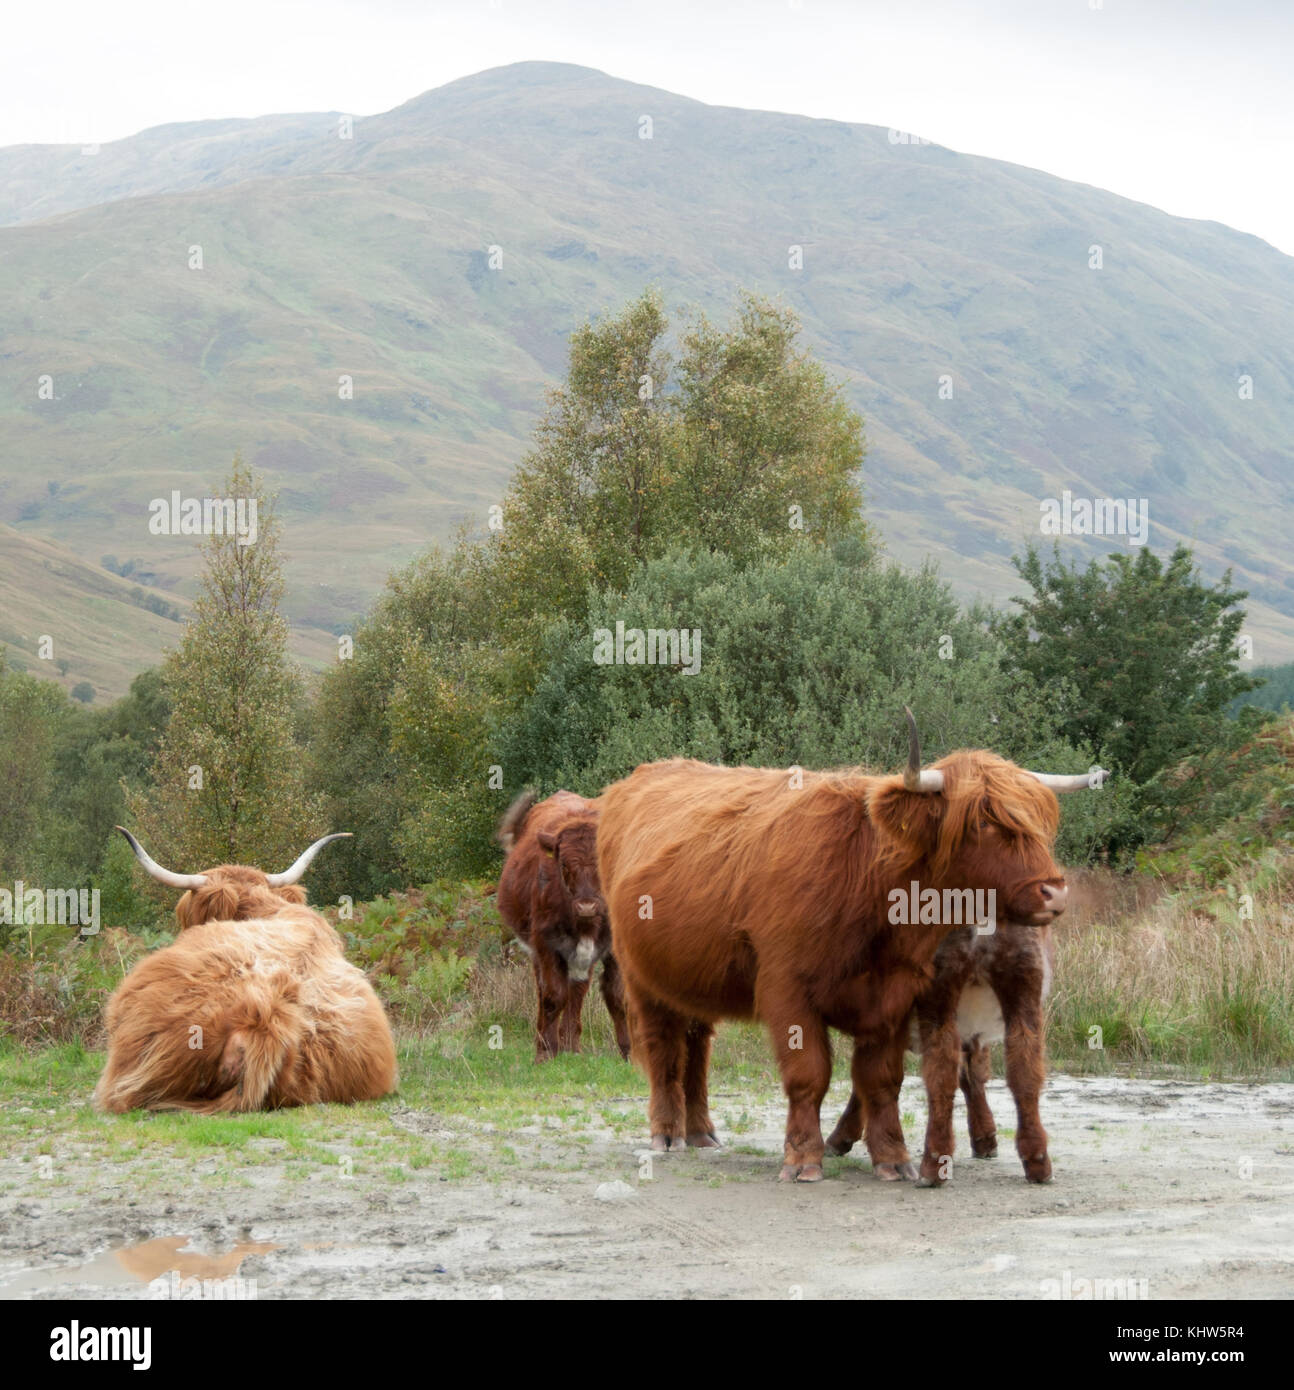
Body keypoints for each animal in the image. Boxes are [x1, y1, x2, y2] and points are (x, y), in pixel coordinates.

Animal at [496, 790, 631, 1062]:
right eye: (564, 865)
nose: (587, 906)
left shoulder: (612, 948)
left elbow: (617, 997)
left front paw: (628, 1053)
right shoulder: (547, 944)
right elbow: (552, 996)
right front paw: (546, 1053)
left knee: (576, 991)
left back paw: (571, 1046)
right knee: (545, 991)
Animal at [824, 920, 1057, 1183]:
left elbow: (868, 1076)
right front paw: (986, 1139)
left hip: (937, 985)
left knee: (941, 1070)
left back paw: (933, 1163)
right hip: (1023, 984)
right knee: (1024, 1069)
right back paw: (1037, 1160)